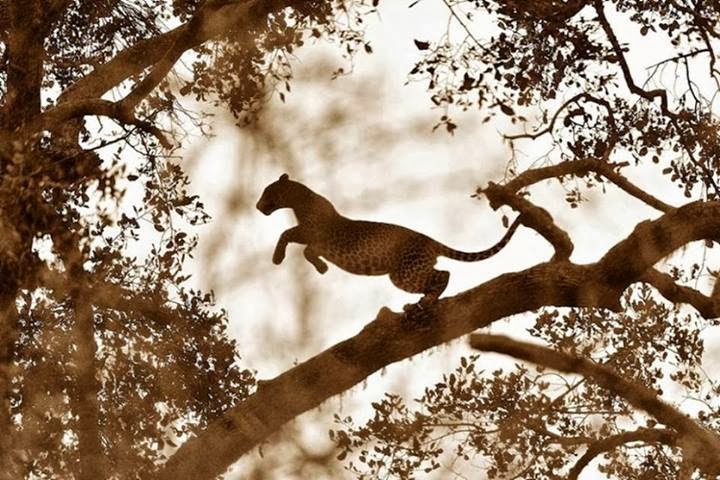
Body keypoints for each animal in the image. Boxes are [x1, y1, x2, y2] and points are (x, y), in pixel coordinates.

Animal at [256, 173, 522, 307]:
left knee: (444, 274)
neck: (298, 201)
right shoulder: (313, 238)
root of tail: (430, 241)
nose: (258, 206)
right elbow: (306, 249)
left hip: (404, 272)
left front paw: (278, 258)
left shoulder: (311, 230)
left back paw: (426, 302)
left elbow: (287, 234)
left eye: (267, 192)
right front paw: (321, 267)